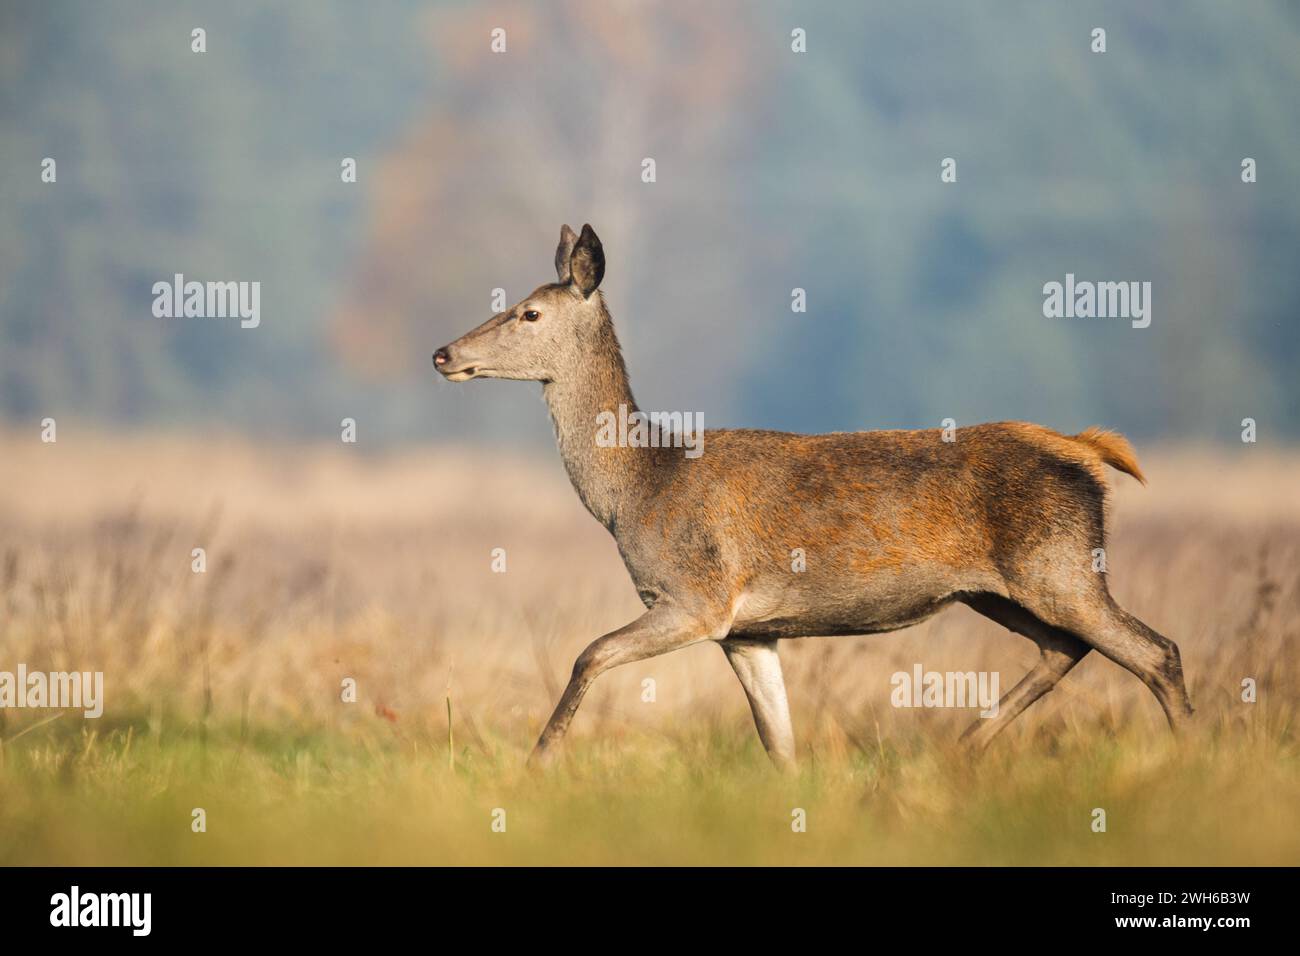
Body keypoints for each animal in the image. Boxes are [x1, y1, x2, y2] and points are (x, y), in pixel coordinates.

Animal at [433, 224, 1194, 770]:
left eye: (529, 312)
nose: (443, 352)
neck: (637, 489)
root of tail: (1088, 453)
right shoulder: (748, 631)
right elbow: (779, 743)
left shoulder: (698, 597)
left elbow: (587, 654)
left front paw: (537, 762)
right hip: (1001, 589)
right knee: (1066, 649)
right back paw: (965, 747)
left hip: (1060, 565)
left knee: (1156, 650)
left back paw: (1194, 763)